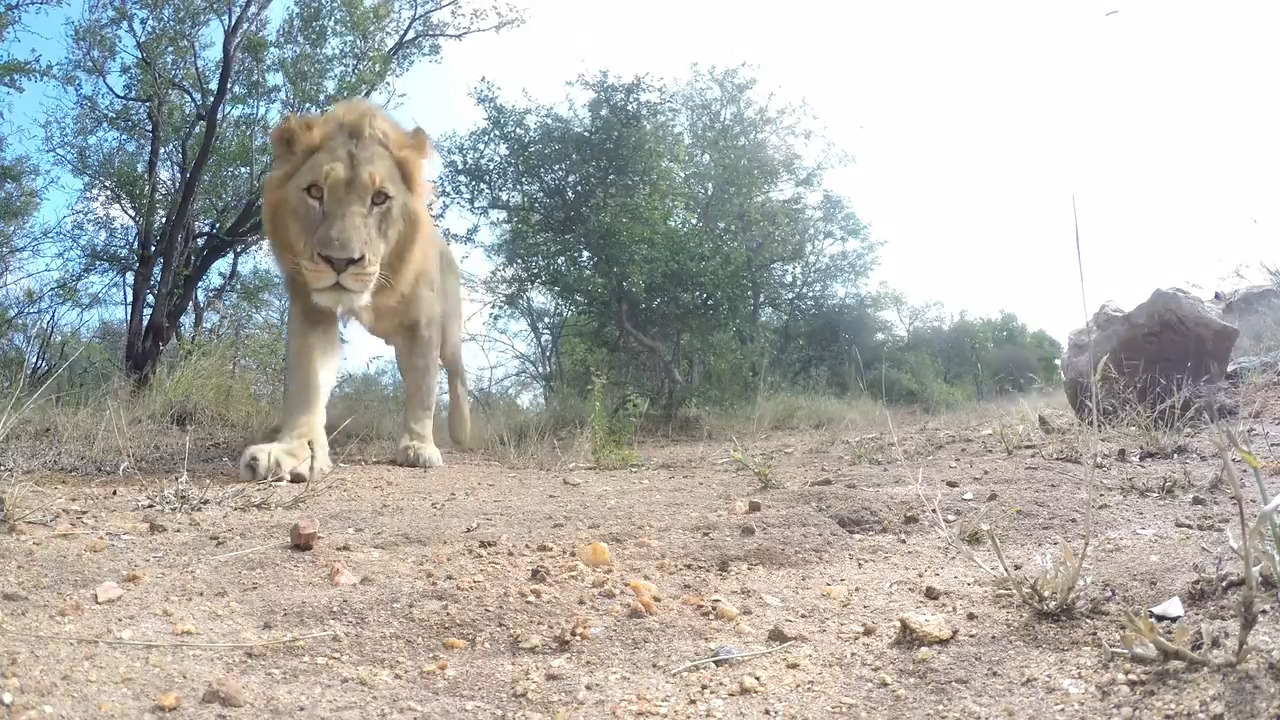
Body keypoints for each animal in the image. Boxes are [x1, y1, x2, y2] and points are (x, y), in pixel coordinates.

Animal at [239, 97, 470, 483]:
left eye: (379, 198)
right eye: (315, 192)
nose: (339, 261)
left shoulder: (424, 324)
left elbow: (424, 388)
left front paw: (419, 446)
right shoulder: (312, 308)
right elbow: (308, 380)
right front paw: (292, 452)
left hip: (450, 330)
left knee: (457, 371)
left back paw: (460, 428)